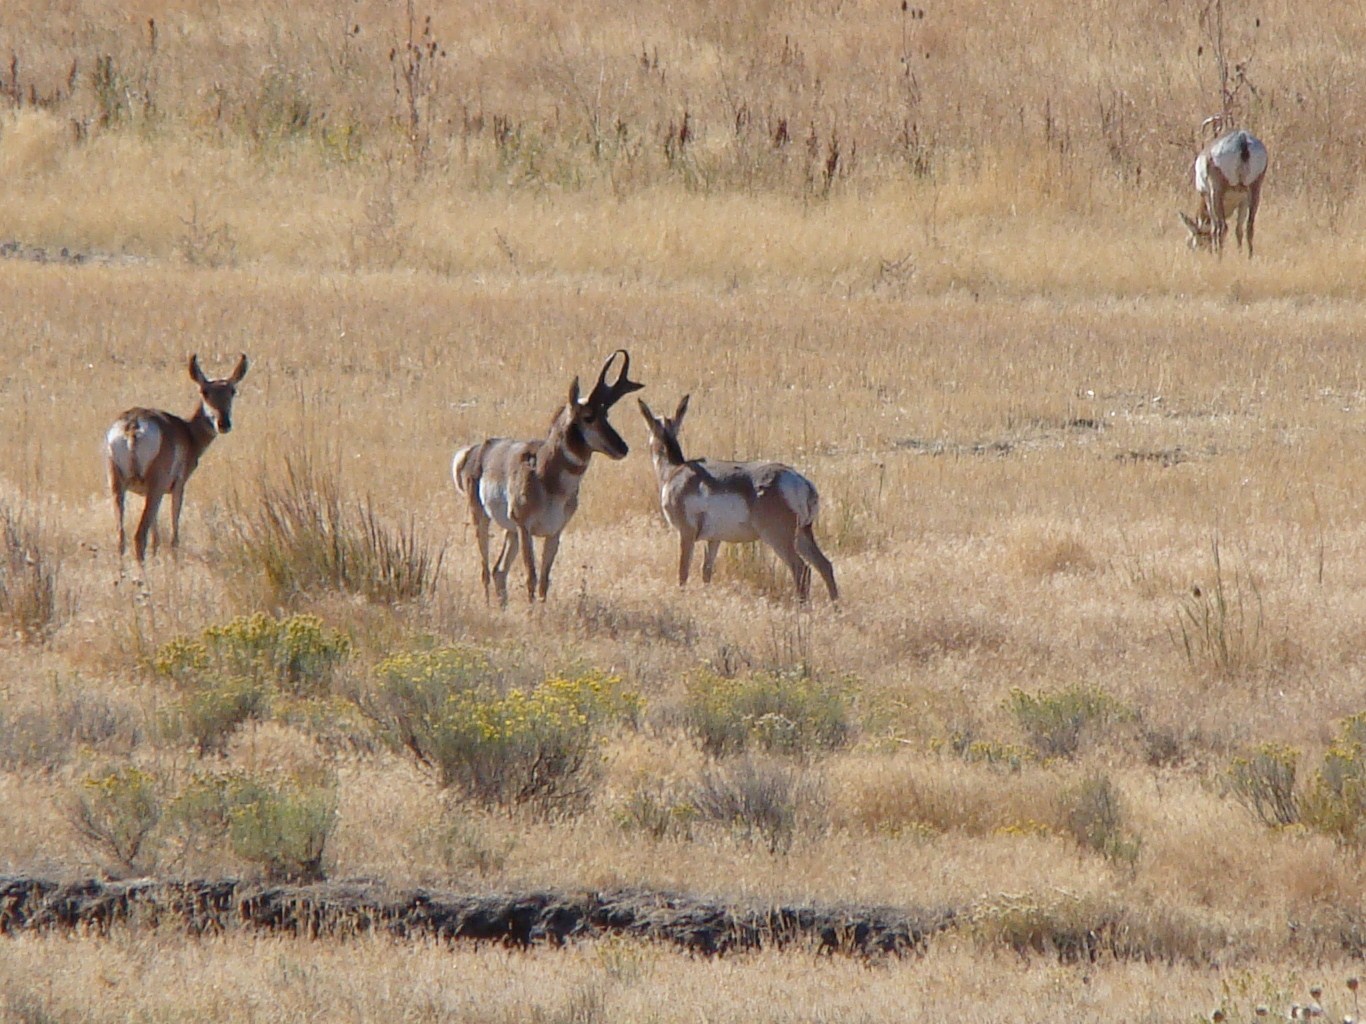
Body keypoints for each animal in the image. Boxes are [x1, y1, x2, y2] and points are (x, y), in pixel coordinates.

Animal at [105, 353, 249, 562]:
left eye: (232, 390)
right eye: (204, 391)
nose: (224, 423)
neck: (188, 431)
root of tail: (133, 425)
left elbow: (156, 536)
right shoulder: (178, 487)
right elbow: (174, 534)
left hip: (118, 486)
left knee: (121, 538)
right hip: (155, 487)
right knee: (139, 536)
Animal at [452, 350, 644, 605]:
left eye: (607, 413)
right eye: (589, 416)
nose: (623, 448)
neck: (547, 477)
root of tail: (474, 450)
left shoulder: (554, 533)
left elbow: (544, 581)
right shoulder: (525, 529)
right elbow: (531, 577)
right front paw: (532, 613)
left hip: (510, 531)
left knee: (498, 570)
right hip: (481, 517)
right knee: (485, 569)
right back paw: (489, 606)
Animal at [638, 395, 838, 602]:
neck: (674, 470)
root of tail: (801, 482)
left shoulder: (686, 533)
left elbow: (683, 572)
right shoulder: (714, 539)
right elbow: (706, 571)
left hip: (778, 537)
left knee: (801, 569)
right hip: (802, 534)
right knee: (825, 565)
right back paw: (835, 606)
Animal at [1178, 127, 1268, 257]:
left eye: (1191, 242)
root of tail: (1242, 139)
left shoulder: (1207, 196)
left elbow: (1214, 228)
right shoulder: (1243, 200)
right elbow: (1238, 230)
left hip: (1217, 193)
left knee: (1222, 228)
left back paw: (1219, 257)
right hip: (1255, 189)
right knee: (1249, 227)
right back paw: (1249, 258)